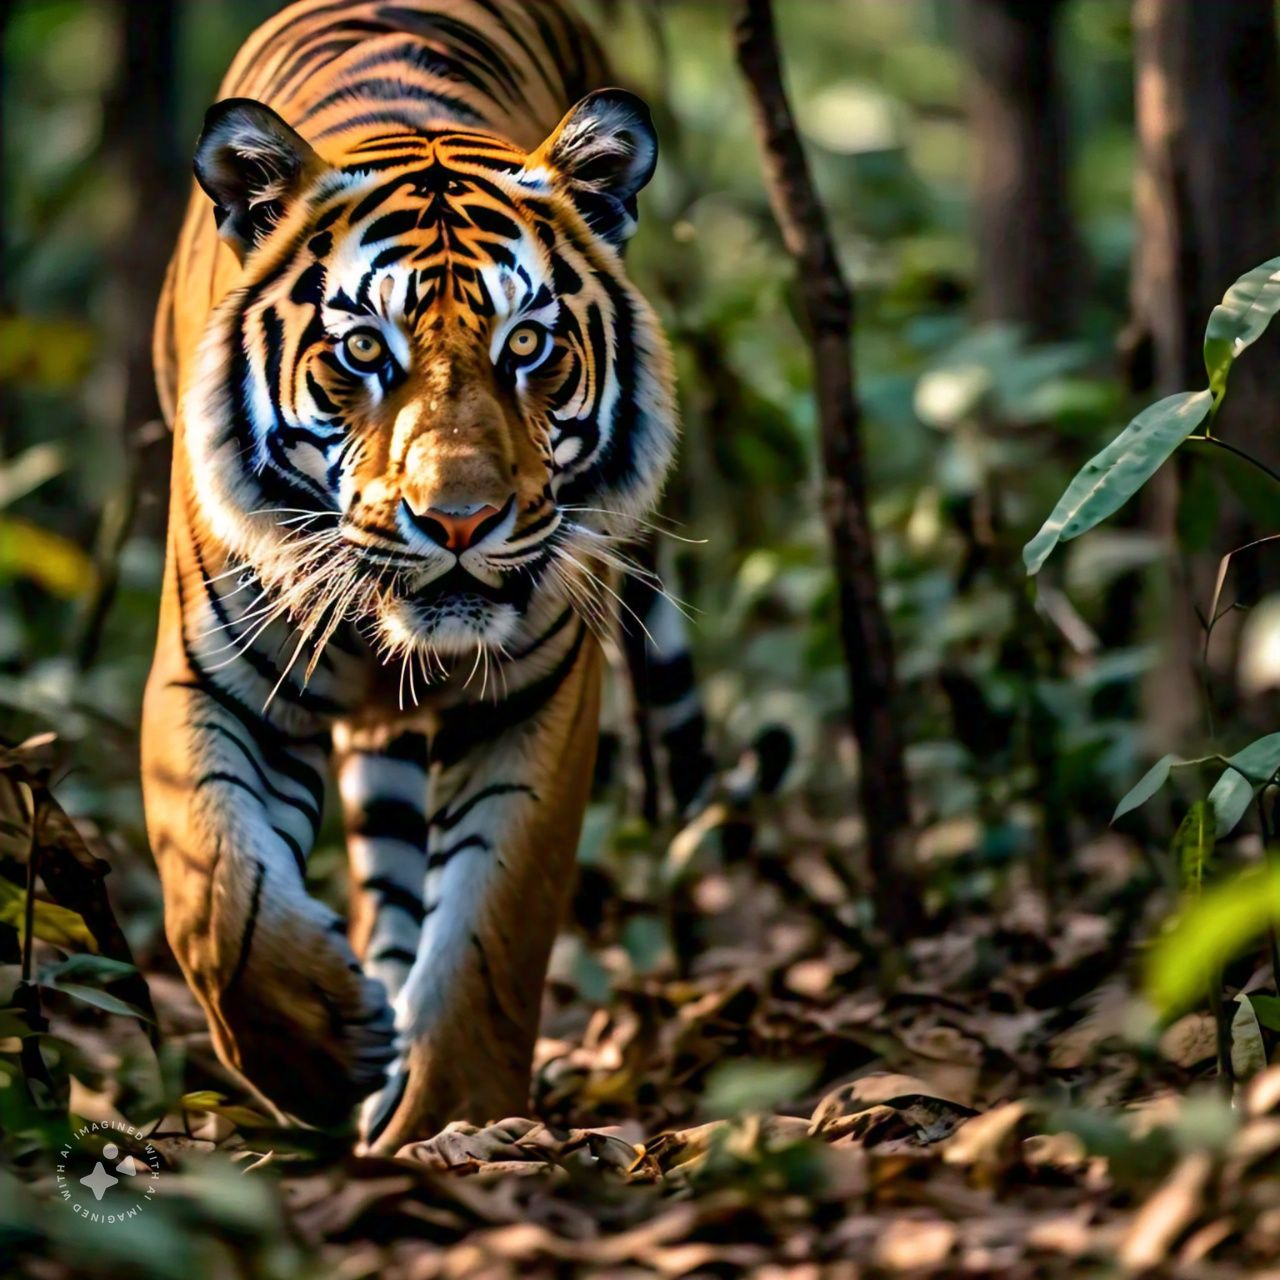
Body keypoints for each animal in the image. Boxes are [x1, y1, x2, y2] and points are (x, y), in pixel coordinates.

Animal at [142, 0, 708, 1153]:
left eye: (528, 343)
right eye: (363, 351)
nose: (458, 518)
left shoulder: (537, 698)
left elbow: (495, 925)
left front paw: (454, 1123)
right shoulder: (206, 678)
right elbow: (216, 894)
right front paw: (319, 1055)